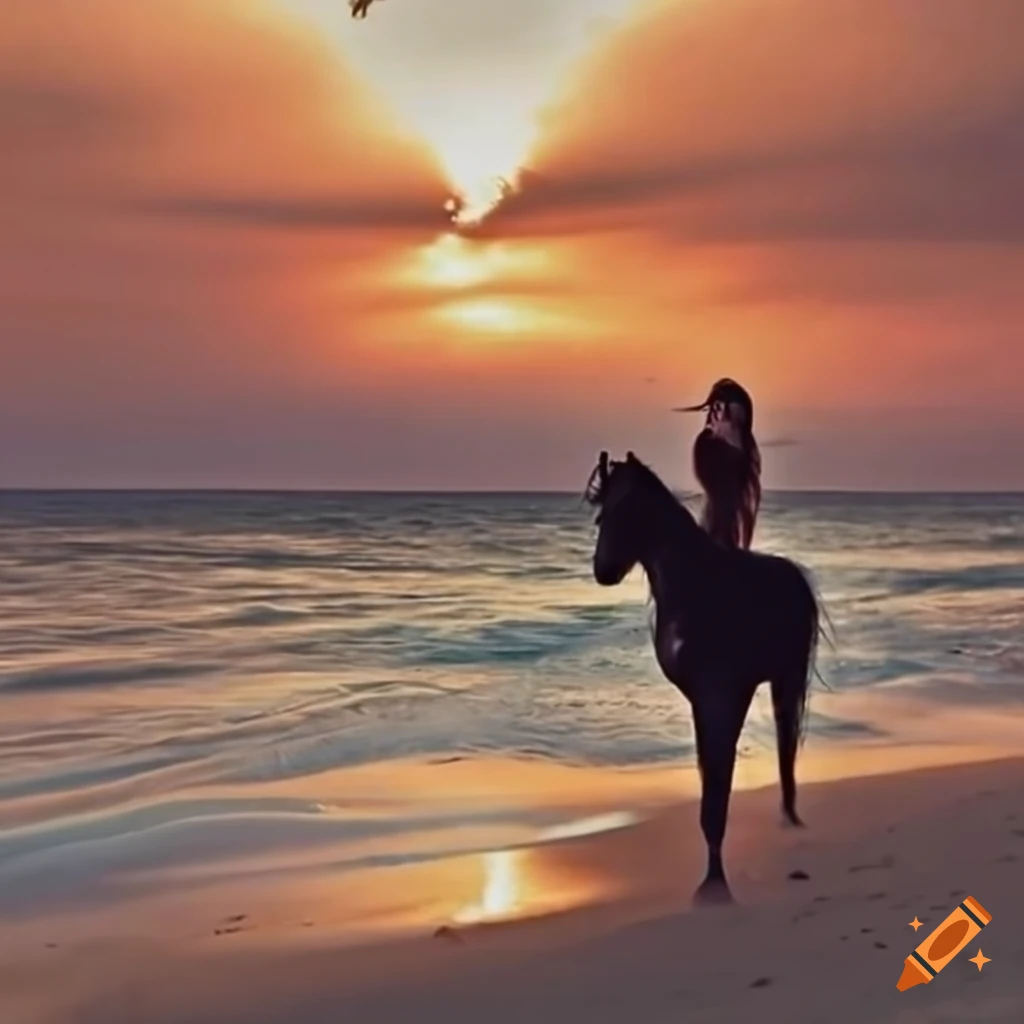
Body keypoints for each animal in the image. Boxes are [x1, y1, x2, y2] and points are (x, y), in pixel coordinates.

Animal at [585, 450, 821, 903]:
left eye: (627, 510)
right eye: (602, 515)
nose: (602, 570)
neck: (694, 585)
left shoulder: (723, 693)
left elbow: (718, 782)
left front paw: (715, 884)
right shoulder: (700, 699)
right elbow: (709, 775)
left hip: (784, 680)